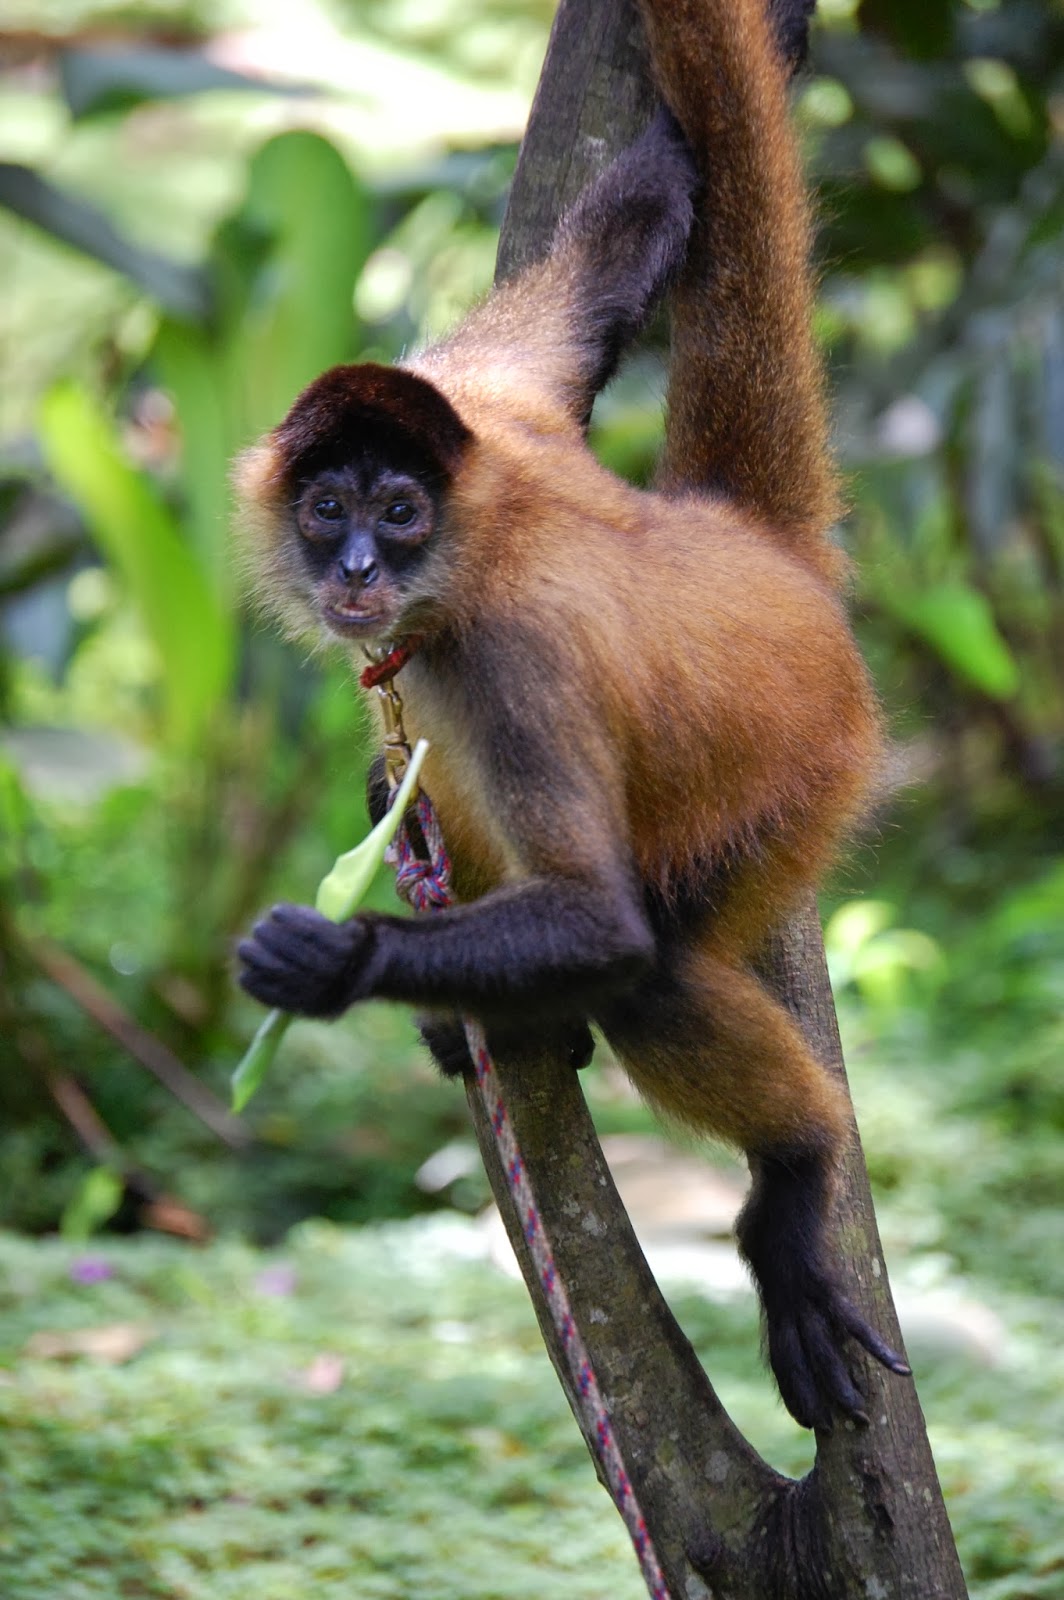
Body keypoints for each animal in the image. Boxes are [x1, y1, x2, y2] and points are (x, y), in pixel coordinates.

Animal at [234, 0, 911, 1431]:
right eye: (326, 506)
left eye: (399, 511)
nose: (356, 570)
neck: (474, 534)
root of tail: (755, 558)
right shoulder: (480, 394)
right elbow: (630, 227)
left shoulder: (509, 656)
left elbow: (603, 924)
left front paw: (338, 958)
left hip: (795, 784)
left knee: (651, 970)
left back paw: (792, 1169)